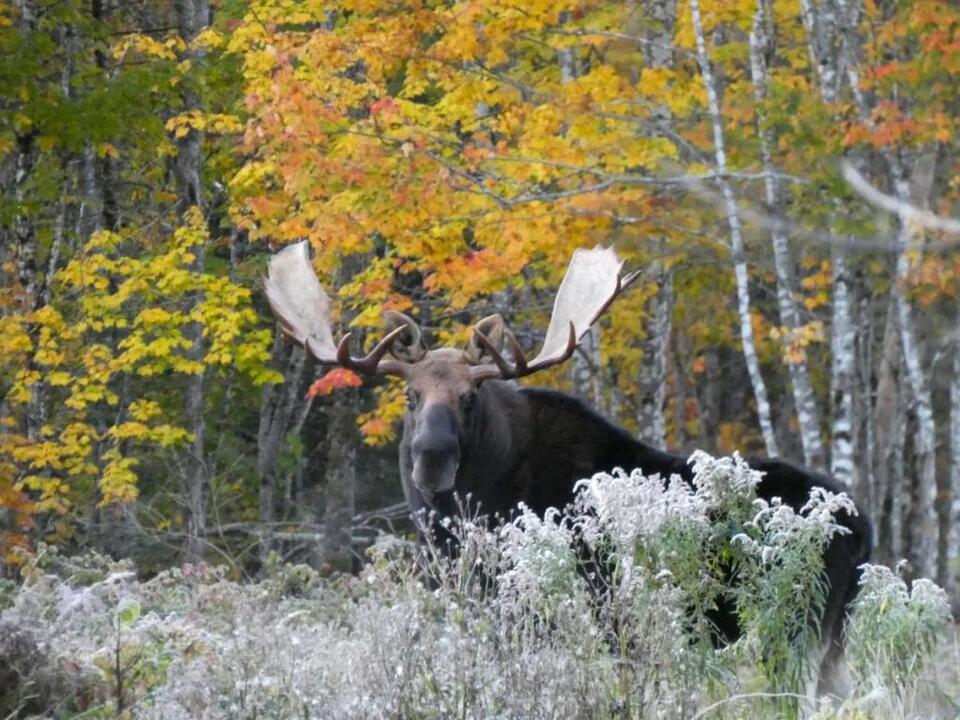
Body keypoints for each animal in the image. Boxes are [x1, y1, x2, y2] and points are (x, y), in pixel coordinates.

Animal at [264, 240, 871, 692]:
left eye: (469, 398)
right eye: (410, 397)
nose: (432, 459)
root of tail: (865, 527)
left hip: (798, 626)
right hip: (833, 638)